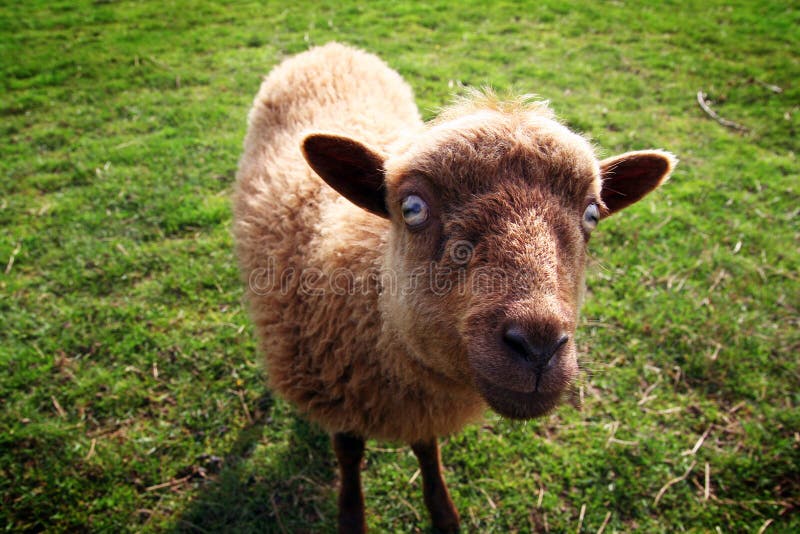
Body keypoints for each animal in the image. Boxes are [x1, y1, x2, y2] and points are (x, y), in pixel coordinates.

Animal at [233, 42, 676, 533]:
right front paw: (352, 517)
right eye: (411, 207)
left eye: (592, 214)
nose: (539, 345)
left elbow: (428, 449)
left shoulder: (423, 405)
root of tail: (330, 48)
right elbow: (349, 455)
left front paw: (443, 512)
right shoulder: (339, 392)